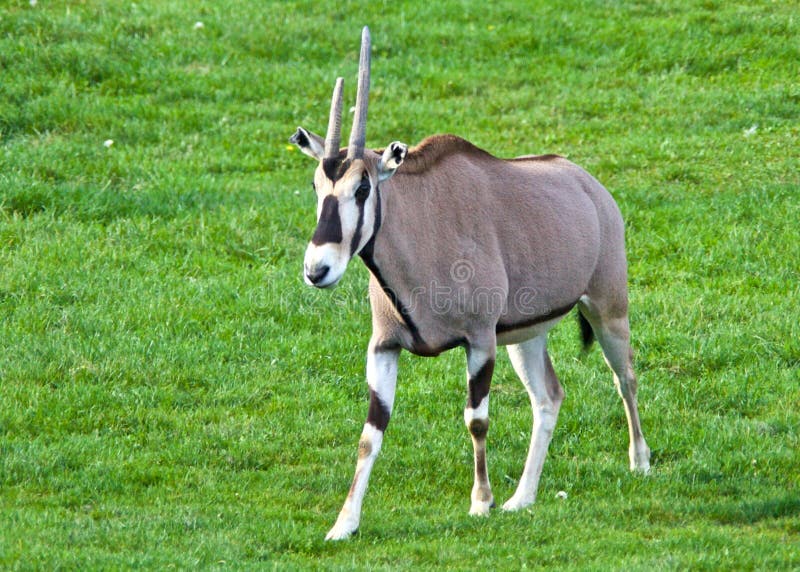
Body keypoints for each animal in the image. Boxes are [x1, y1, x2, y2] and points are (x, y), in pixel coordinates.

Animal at [289, 27, 651, 541]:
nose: (317, 269)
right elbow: (369, 434)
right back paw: (523, 498)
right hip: (524, 336)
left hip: (607, 310)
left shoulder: (479, 341)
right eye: (318, 187)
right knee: (548, 397)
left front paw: (481, 502)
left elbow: (476, 419)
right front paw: (344, 523)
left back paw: (639, 462)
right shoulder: (384, 347)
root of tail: (589, 185)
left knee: (626, 377)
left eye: (363, 188)